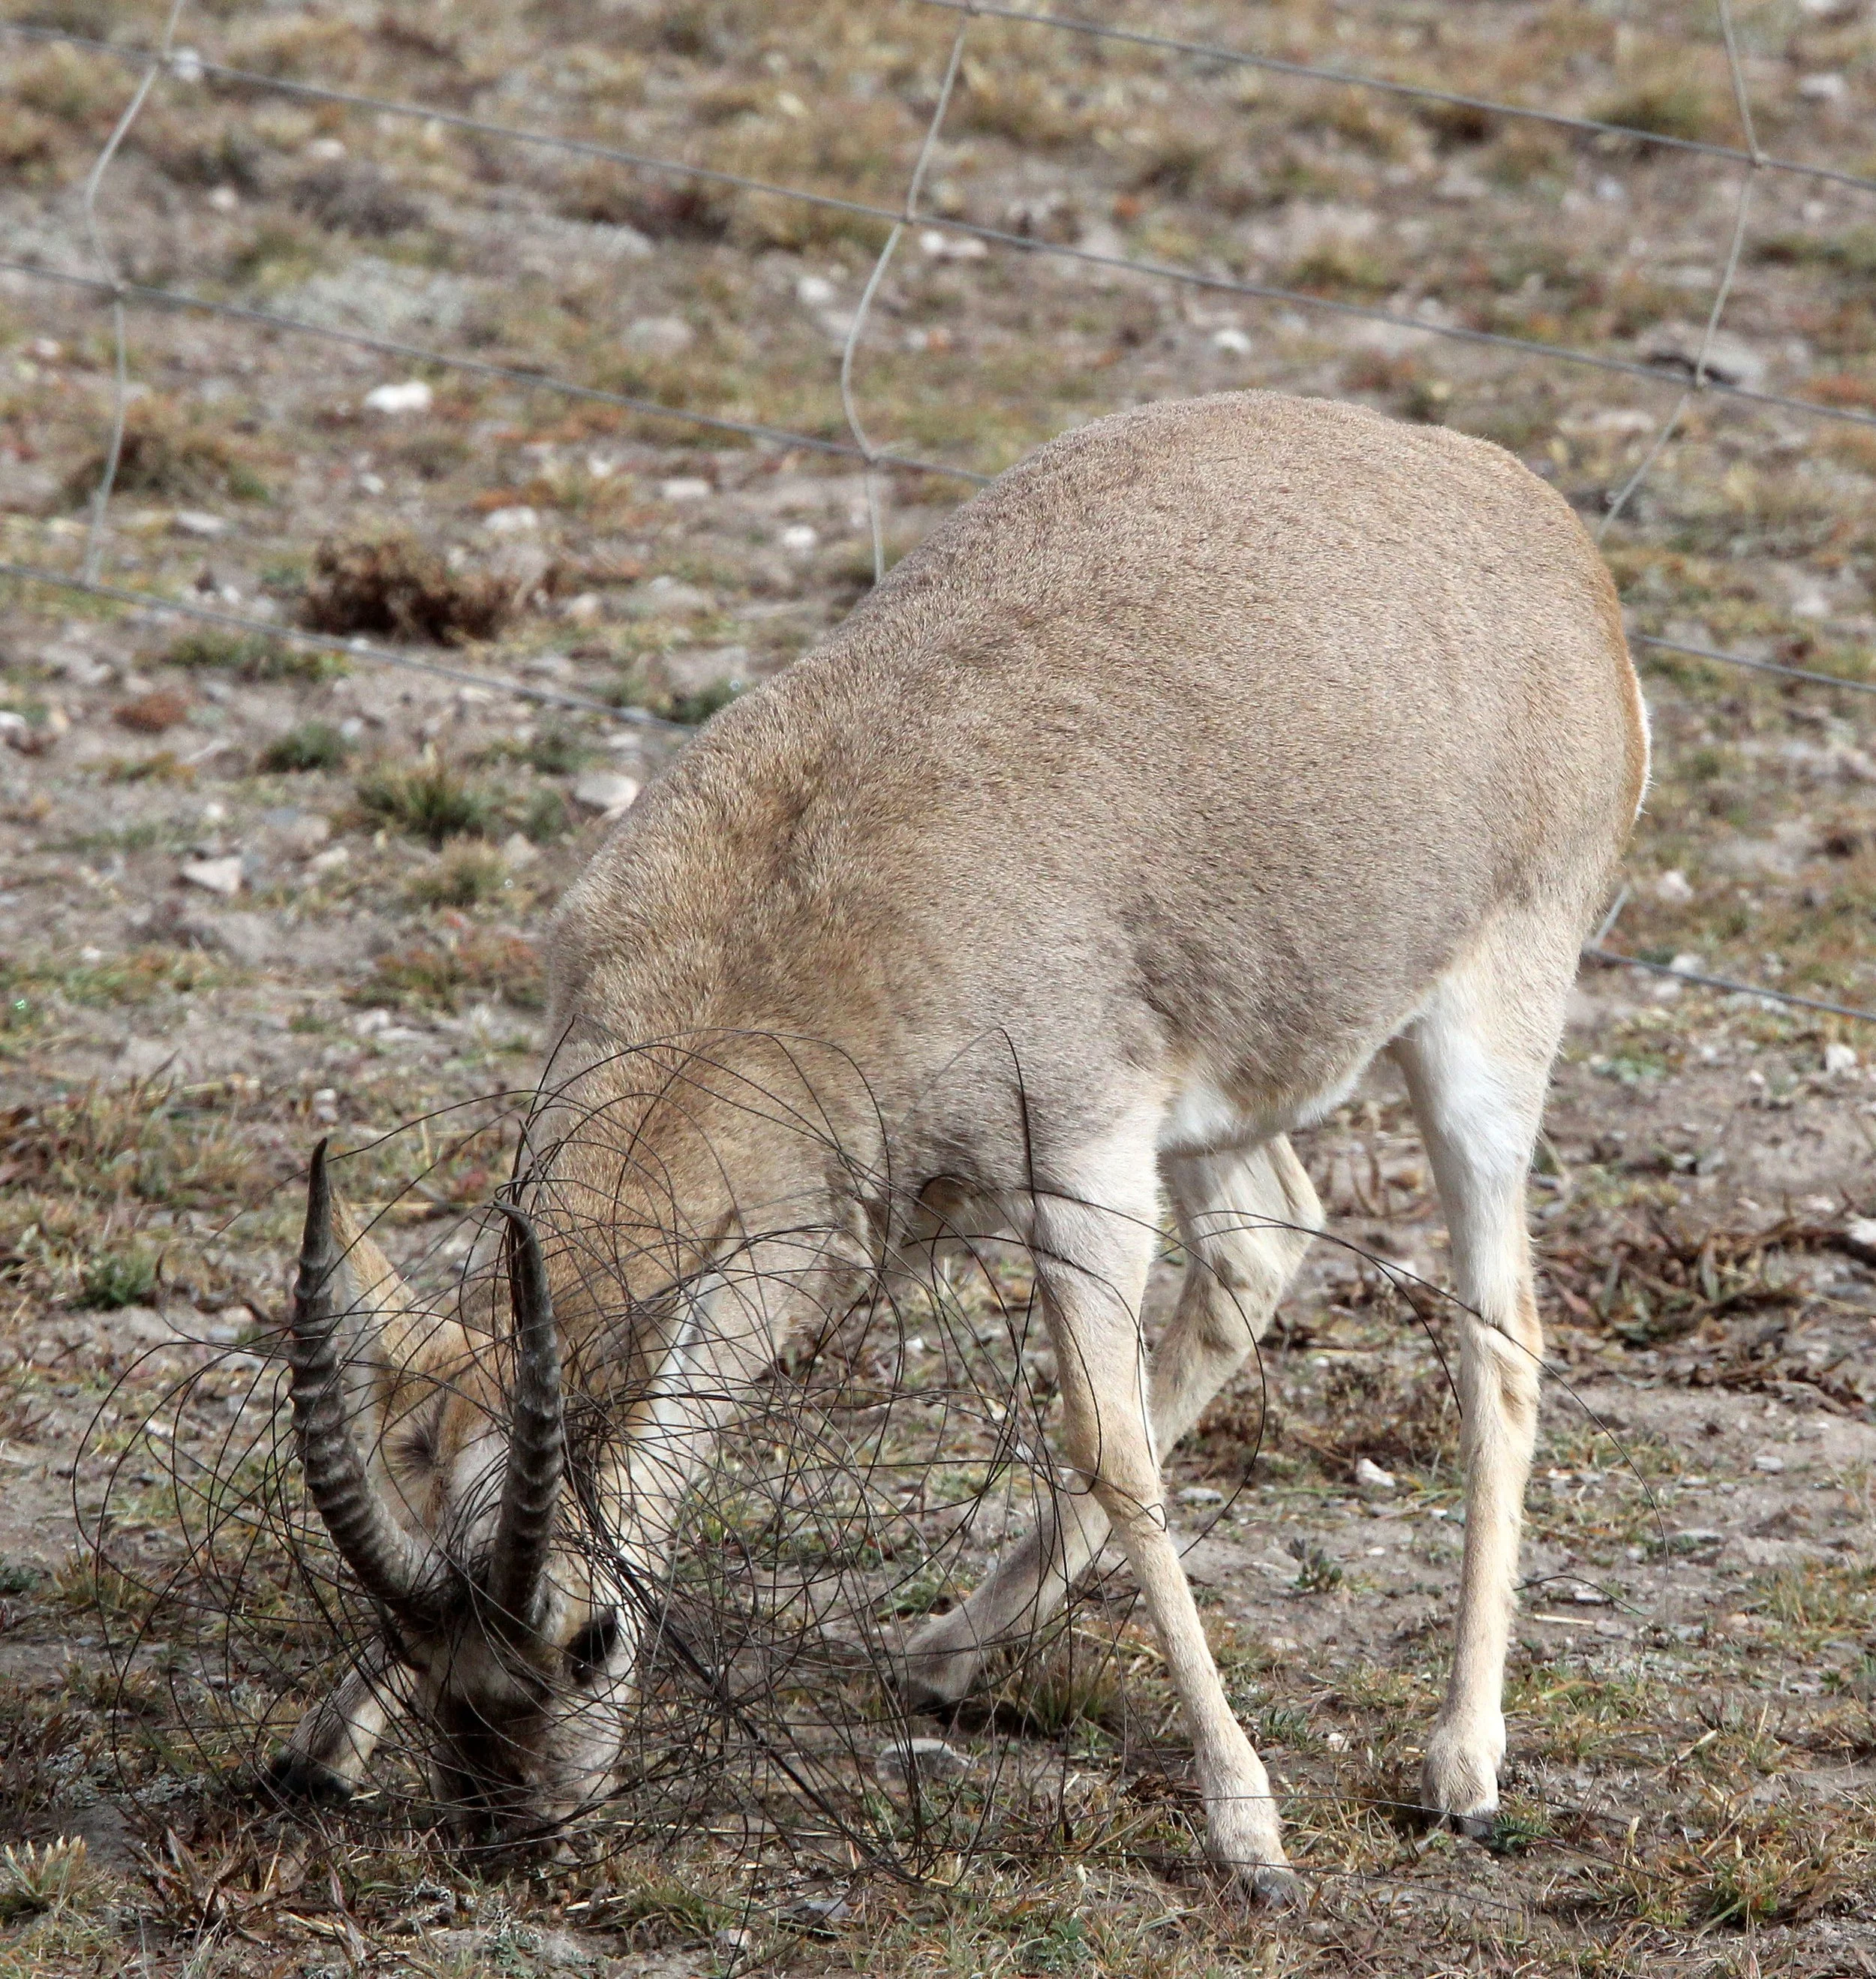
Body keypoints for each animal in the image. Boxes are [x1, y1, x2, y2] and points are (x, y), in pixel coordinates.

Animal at [272, 390, 1646, 1902]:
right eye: (413, 1633)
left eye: (596, 1636)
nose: (507, 1832)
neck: (785, 937)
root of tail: (1524, 514)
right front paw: (323, 1743)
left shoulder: (1083, 1174)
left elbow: (1109, 1443)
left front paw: (1250, 1829)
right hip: (1225, 1103)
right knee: (1263, 1245)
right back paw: (945, 1655)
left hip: (1482, 1049)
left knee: (1495, 1336)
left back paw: (1463, 1766)